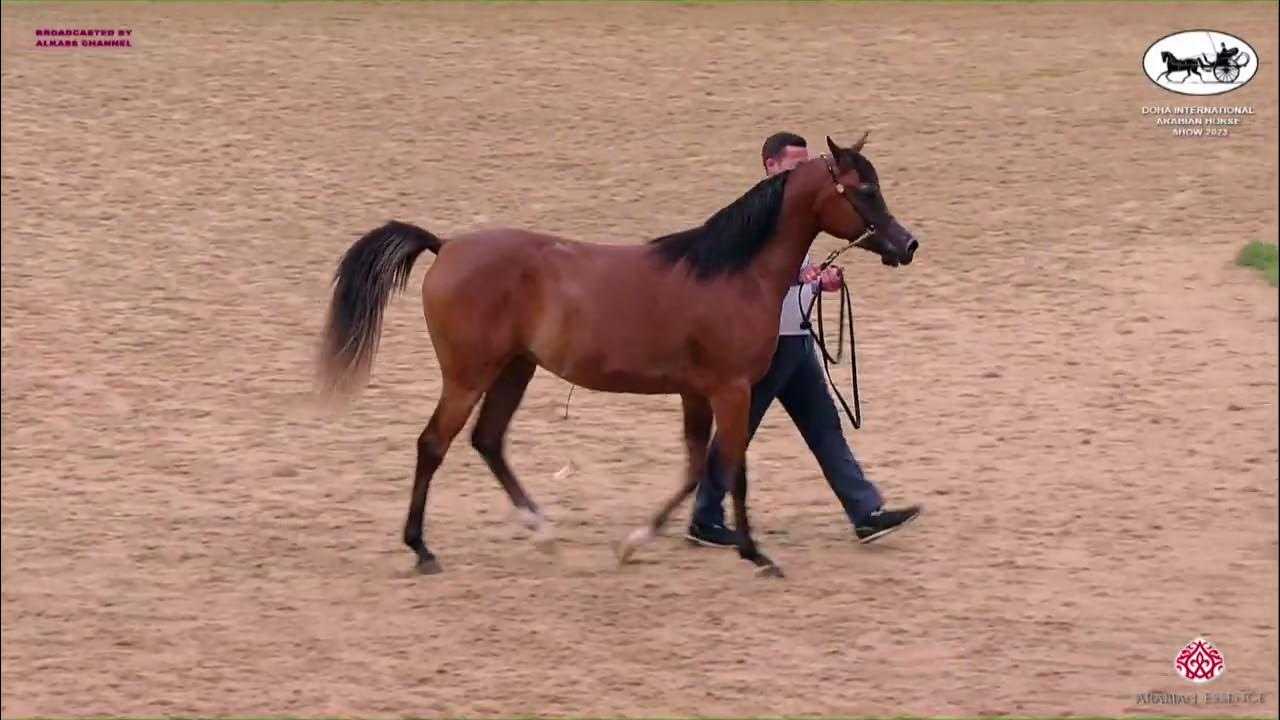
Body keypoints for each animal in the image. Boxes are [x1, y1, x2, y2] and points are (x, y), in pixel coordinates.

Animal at [316, 134, 919, 579]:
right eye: (864, 189)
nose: (907, 244)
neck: (733, 273)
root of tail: (446, 247)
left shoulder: (699, 392)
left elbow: (701, 466)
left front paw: (636, 542)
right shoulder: (731, 389)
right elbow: (733, 467)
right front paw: (756, 554)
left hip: (515, 369)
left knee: (487, 441)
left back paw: (544, 534)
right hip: (468, 376)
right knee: (433, 444)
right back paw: (422, 549)